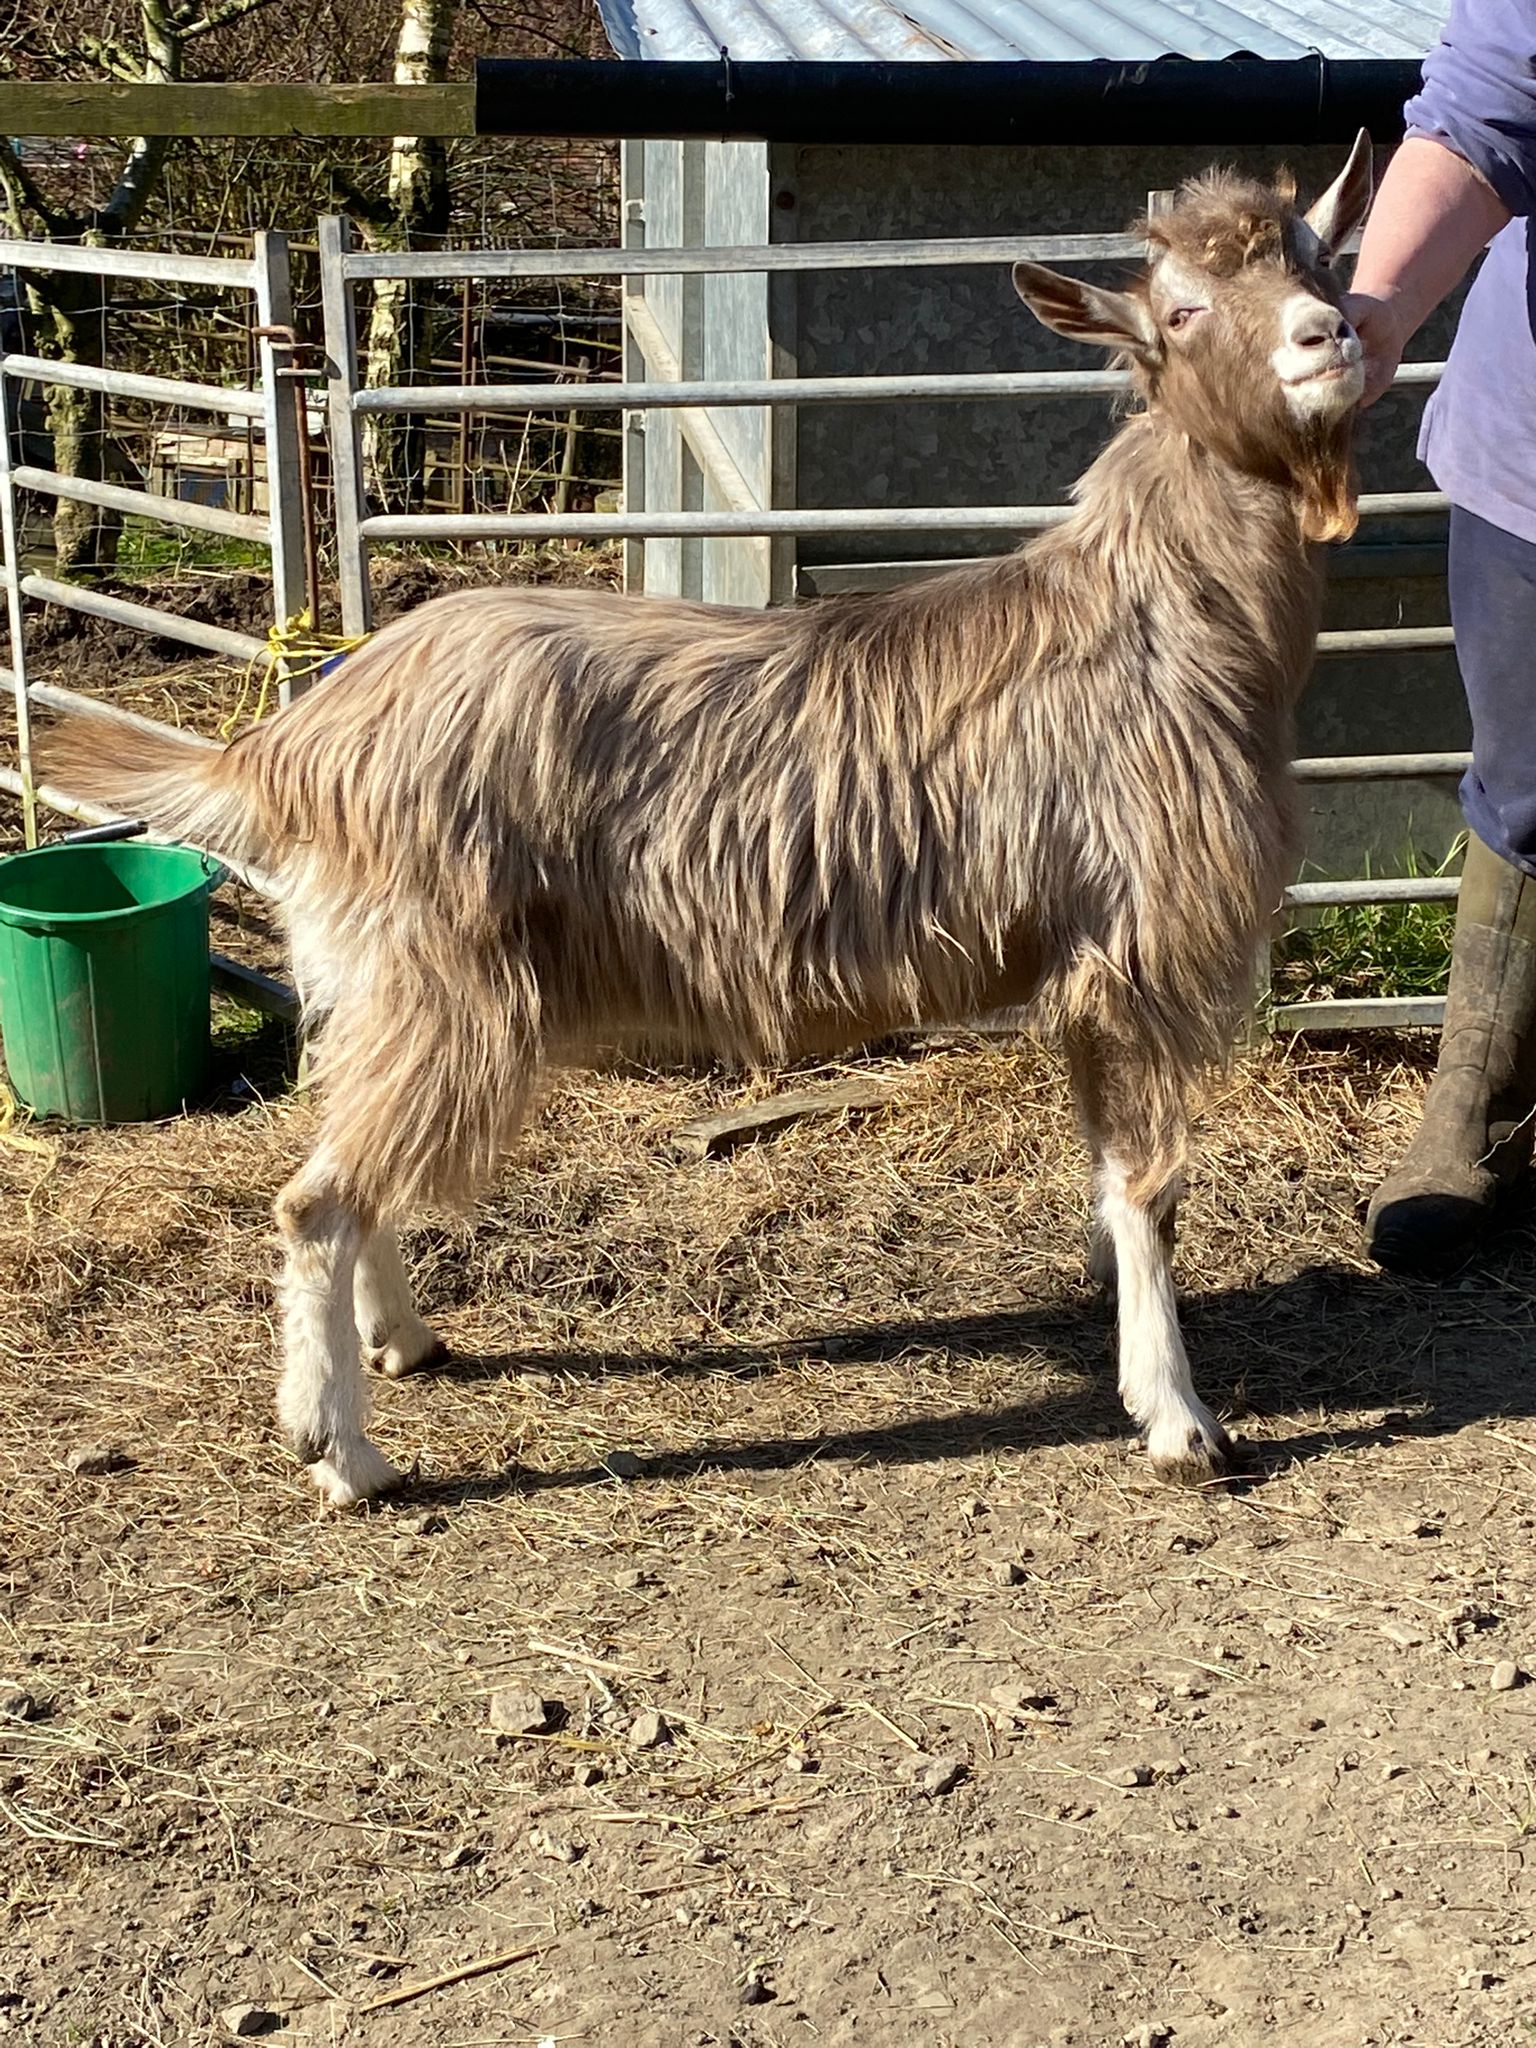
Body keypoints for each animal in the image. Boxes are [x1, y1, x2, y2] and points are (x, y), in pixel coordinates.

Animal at [38, 135, 1375, 1507]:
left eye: (1322, 264)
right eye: (1185, 309)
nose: (1331, 336)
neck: (1160, 613)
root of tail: (297, 746)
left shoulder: (1084, 960)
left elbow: (1115, 1182)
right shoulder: (1136, 948)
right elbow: (1149, 1188)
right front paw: (1180, 1417)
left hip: (384, 987)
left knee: (357, 1170)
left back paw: (401, 1339)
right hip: (435, 978)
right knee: (316, 1201)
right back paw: (343, 1450)